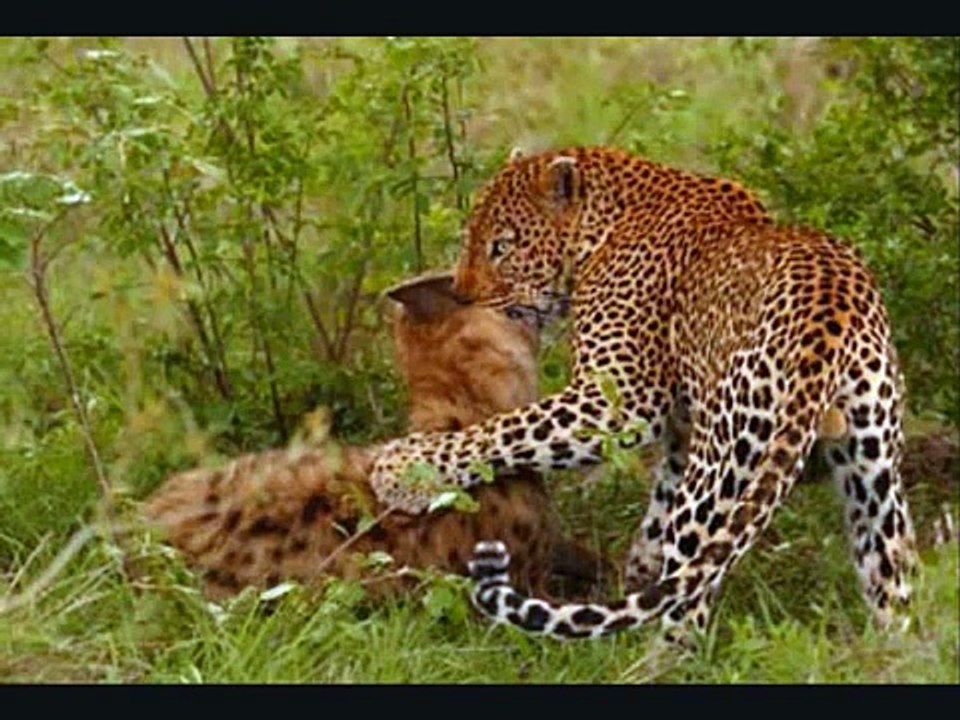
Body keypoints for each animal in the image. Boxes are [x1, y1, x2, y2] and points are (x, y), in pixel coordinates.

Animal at [369, 145, 918, 640]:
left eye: (501, 247)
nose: (462, 295)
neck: (607, 222)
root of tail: (827, 318)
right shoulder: (682, 427)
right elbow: (657, 509)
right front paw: (638, 567)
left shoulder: (621, 399)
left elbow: (505, 432)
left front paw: (401, 471)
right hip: (873, 469)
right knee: (892, 572)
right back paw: (895, 650)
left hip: (726, 466)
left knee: (689, 598)